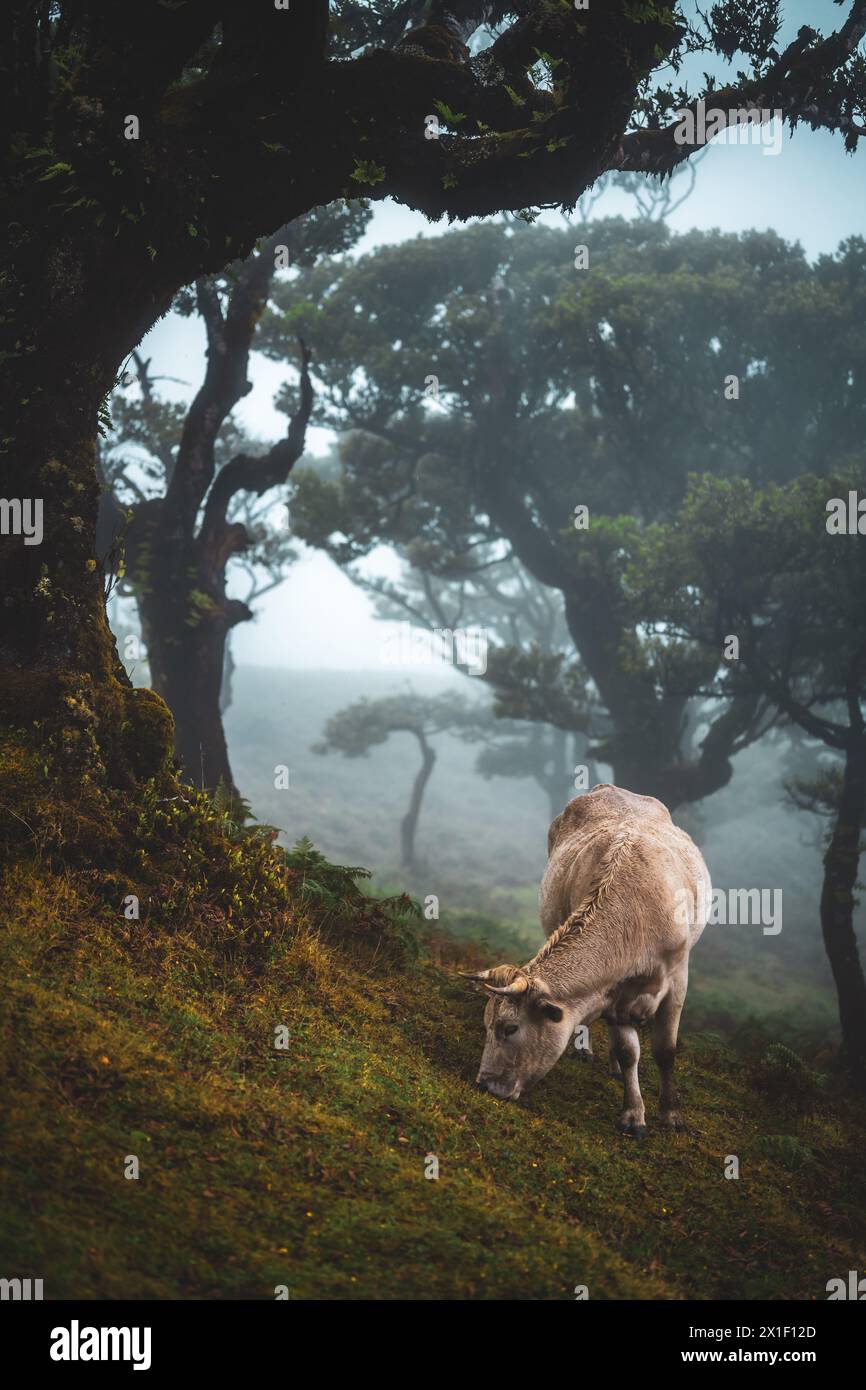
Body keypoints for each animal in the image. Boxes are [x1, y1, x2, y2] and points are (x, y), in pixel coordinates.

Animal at [462, 784, 711, 1136]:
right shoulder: (612, 988)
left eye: (509, 1028)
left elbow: (665, 1050)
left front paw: (672, 1113)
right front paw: (634, 1114)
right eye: (486, 1024)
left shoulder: (677, 977)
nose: (484, 1083)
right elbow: (628, 1050)